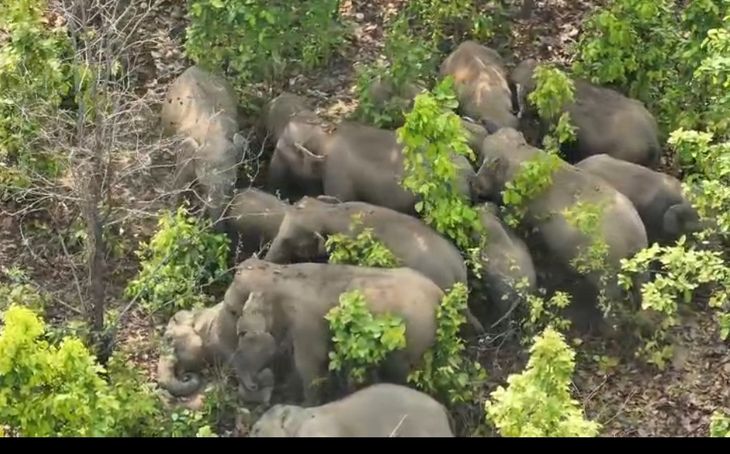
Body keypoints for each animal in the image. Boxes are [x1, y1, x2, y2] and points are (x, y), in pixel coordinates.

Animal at [223, 258, 441, 405]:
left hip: (412, 338)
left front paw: (307, 405)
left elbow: (308, 363)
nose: (253, 387)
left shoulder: (307, 323)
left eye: (242, 333)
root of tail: (439, 294)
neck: (280, 272)